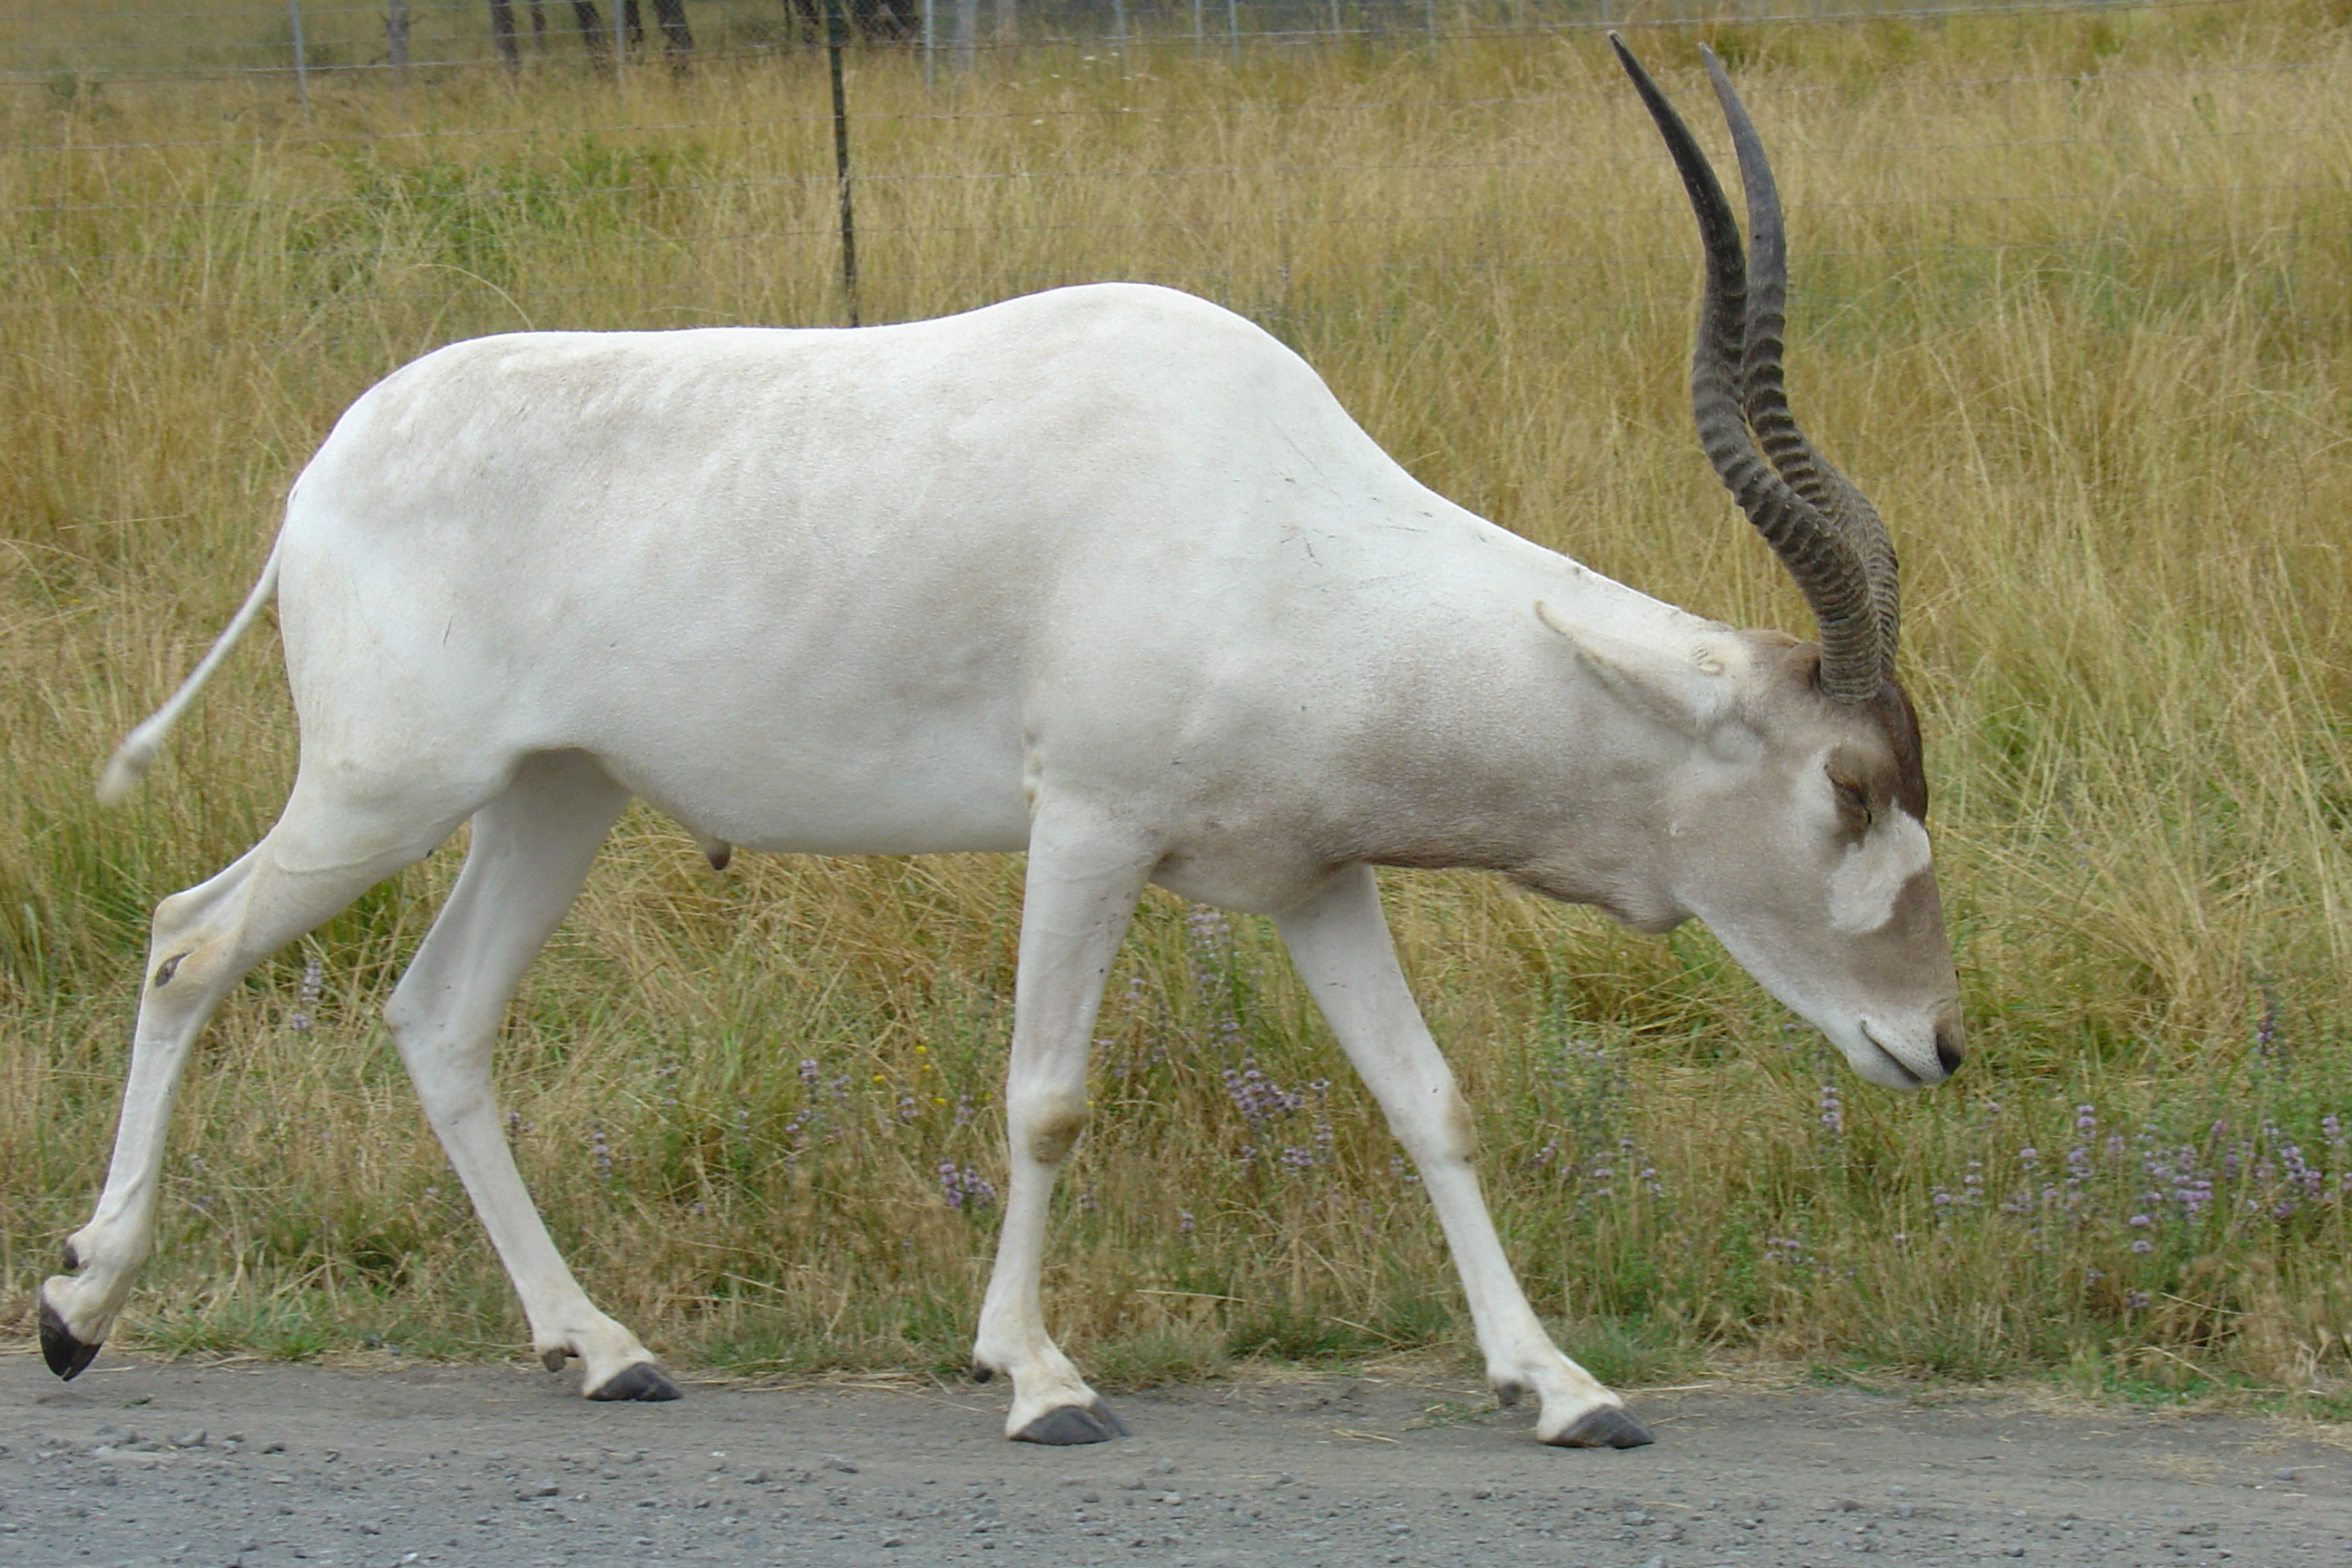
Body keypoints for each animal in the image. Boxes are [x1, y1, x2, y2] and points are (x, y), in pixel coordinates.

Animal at [43, 39, 1960, 1449]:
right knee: (190, 939)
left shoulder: (1311, 874)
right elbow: (1046, 1097)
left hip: (548, 799)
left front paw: (1557, 1383)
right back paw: (76, 1303)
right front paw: (1037, 1377)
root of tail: (332, 463)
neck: (1284, 525)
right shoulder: (1089, 827)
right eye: (1847, 782)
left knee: (438, 1017)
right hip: (385, 785)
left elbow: (1429, 1099)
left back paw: (602, 1344)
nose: (1932, 1042)